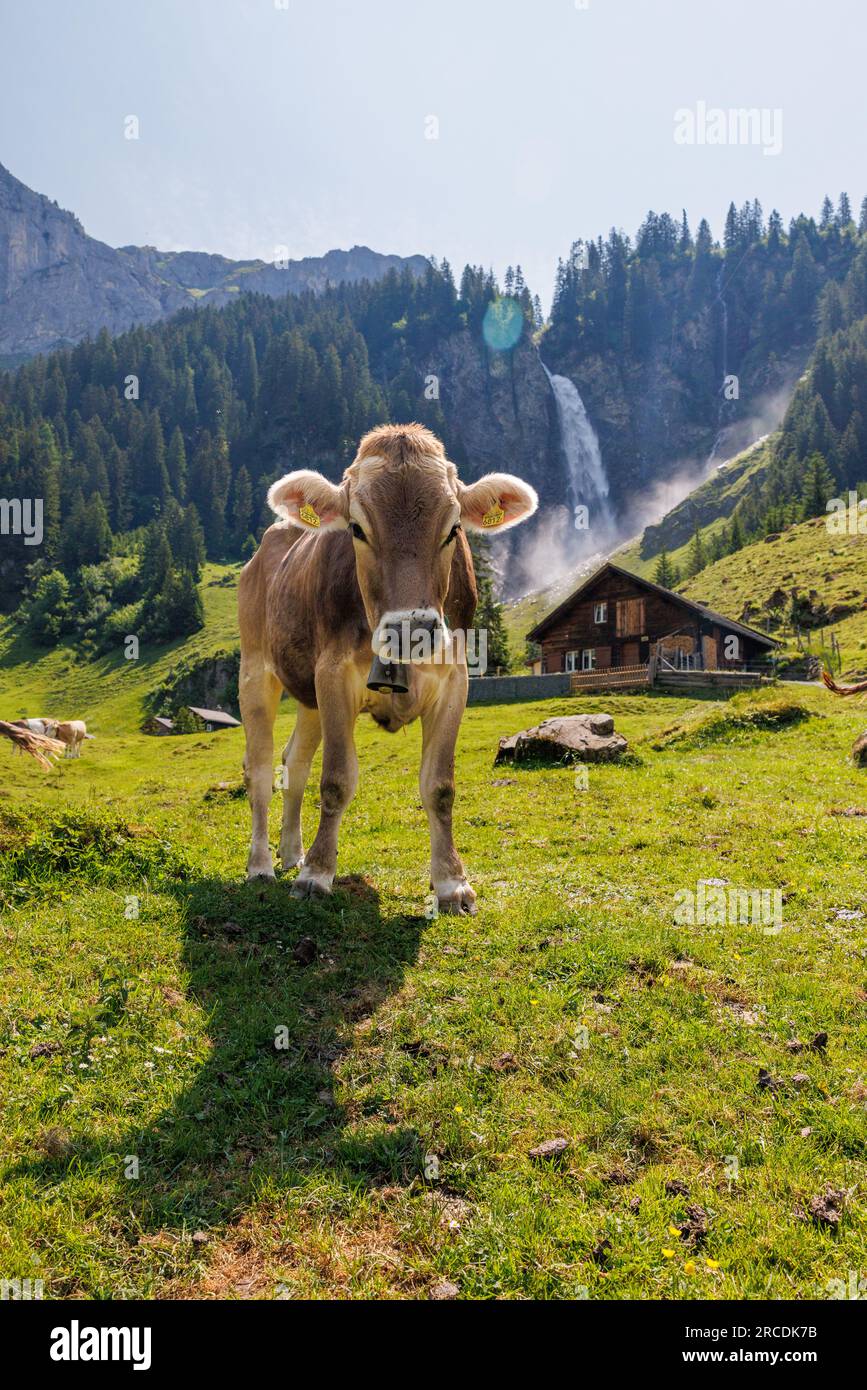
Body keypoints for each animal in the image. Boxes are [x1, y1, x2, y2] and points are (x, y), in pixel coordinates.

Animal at [238, 423, 537, 913]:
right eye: (357, 528)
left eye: (454, 528)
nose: (411, 630)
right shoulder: (333, 675)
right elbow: (336, 779)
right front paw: (316, 876)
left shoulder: (454, 680)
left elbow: (439, 785)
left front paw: (452, 883)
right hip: (255, 669)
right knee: (261, 768)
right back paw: (262, 864)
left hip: (307, 695)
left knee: (294, 763)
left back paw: (291, 852)